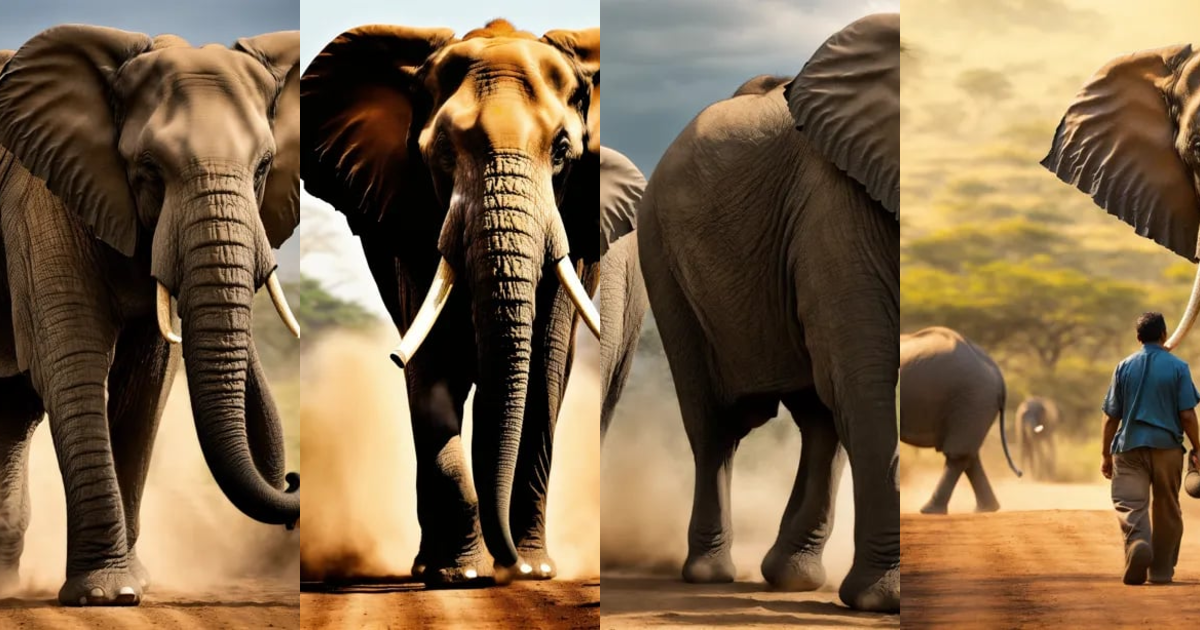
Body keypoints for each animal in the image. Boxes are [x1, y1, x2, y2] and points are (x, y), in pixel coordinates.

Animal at [0, 27, 301, 606]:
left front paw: (133, 584)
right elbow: (73, 364)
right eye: (148, 170)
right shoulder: (41, 201)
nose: (294, 480)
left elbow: (148, 381)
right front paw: (106, 594)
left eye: (263, 168)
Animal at [300, 19, 602, 587]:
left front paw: (533, 571)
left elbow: (544, 375)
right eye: (441, 152)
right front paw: (462, 576)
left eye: (561, 151)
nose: (510, 564)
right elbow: (432, 368)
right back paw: (428, 565)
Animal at [636, 14, 899, 612]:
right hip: (659, 251)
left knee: (819, 416)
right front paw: (883, 602)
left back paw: (792, 577)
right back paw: (710, 572)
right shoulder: (836, 198)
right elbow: (867, 375)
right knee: (714, 428)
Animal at [899, 327, 1021, 515]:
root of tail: (996, 371)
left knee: (958, 453)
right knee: (970, 455)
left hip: (972, 399)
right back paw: (986, 509)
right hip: (974, 404)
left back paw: (930, 510)